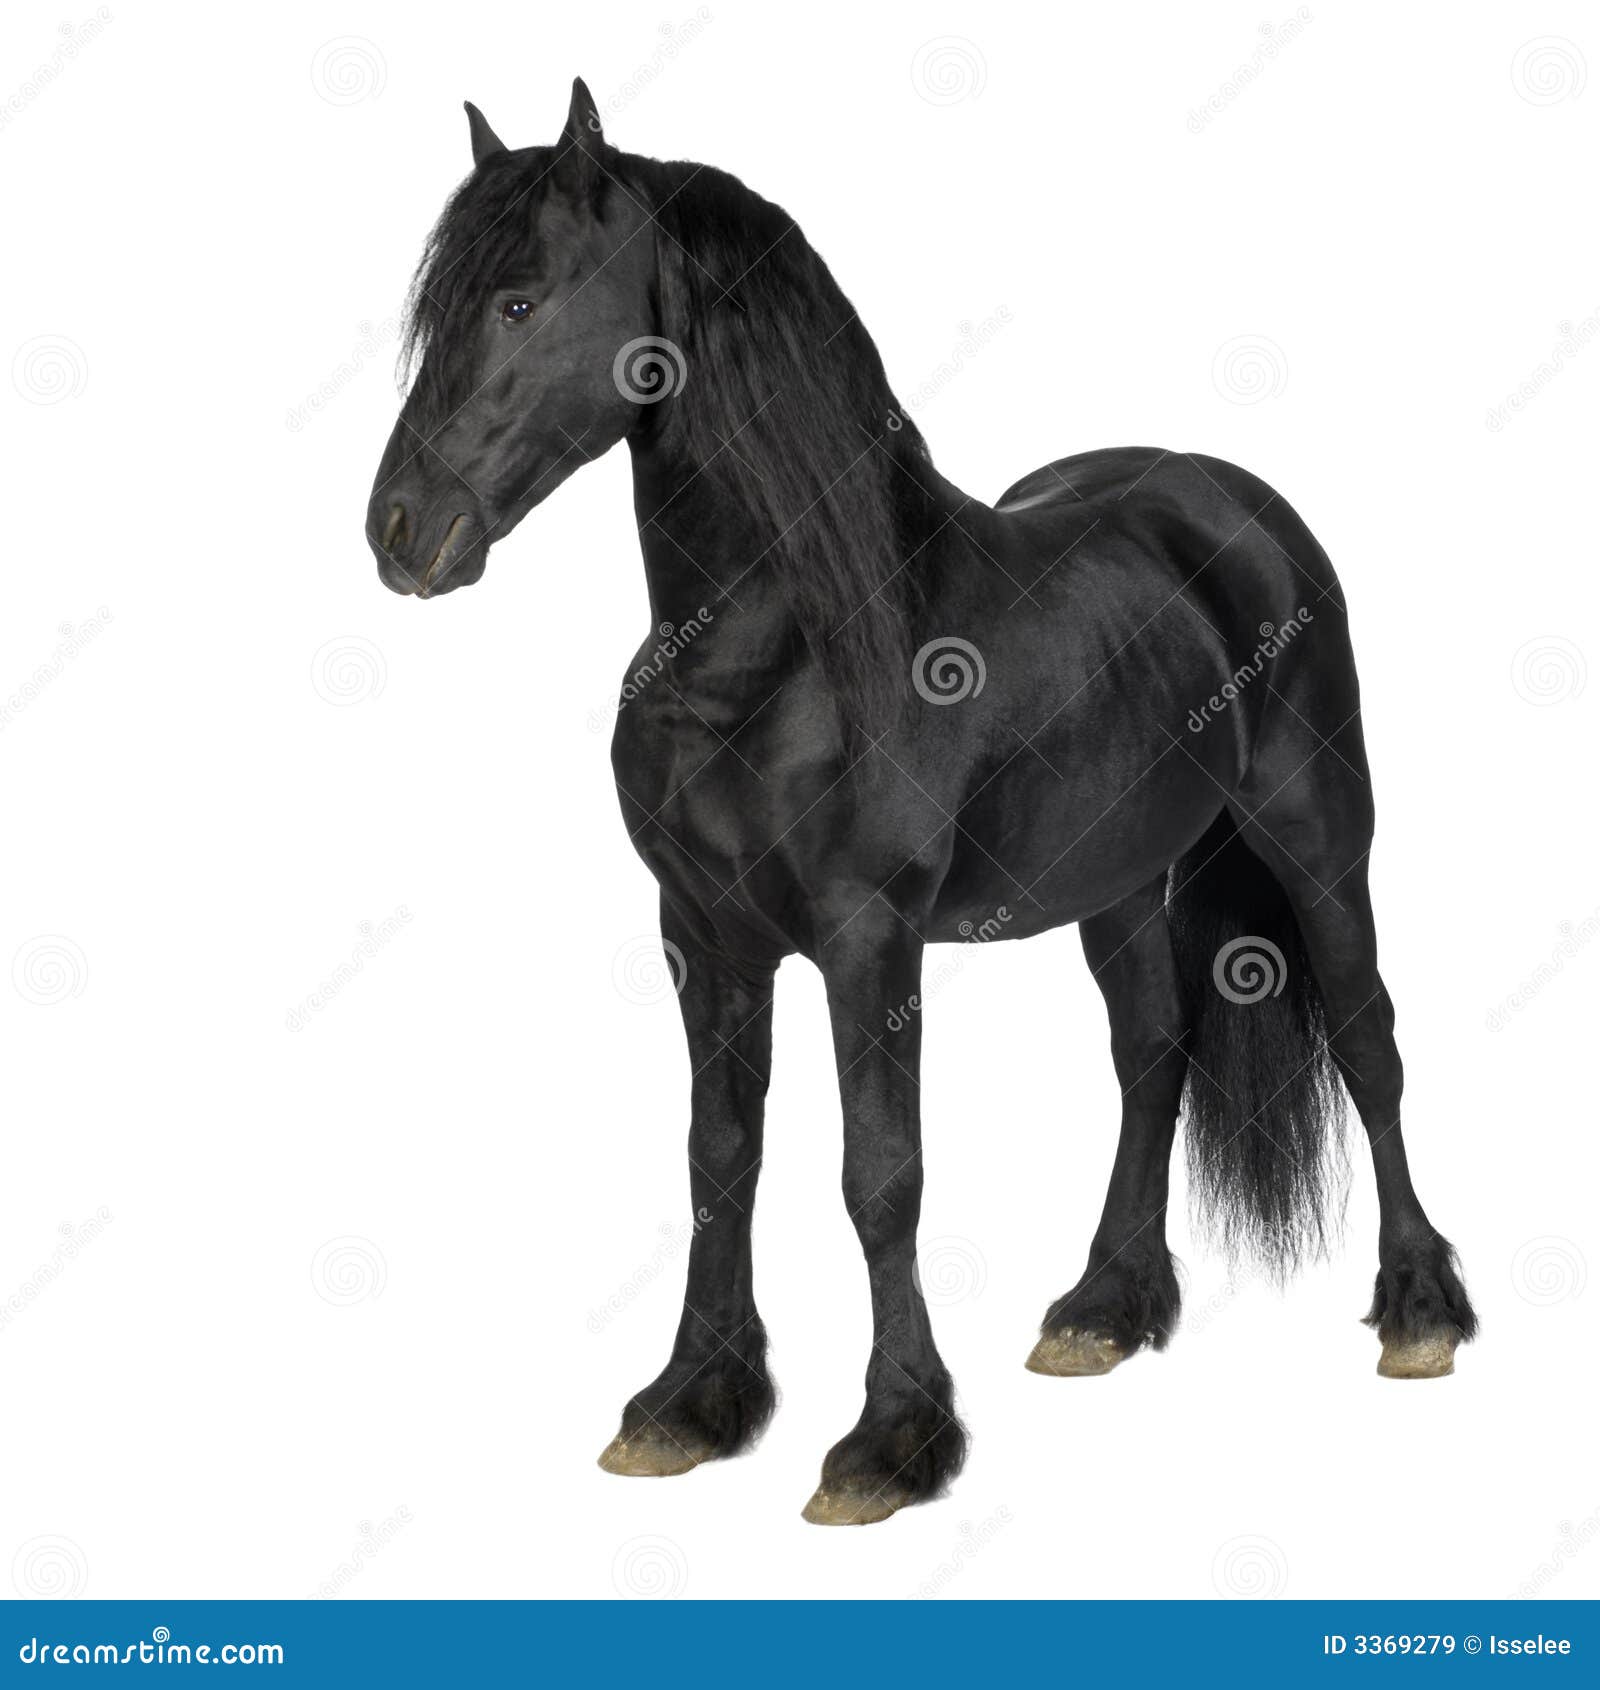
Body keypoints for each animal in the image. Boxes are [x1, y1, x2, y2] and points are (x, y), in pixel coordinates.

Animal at [365, 79, 1477, 1526]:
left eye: (518, 301)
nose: (400, 533)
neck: (783, 650)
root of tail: (1231, 502)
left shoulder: (866, 936)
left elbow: (878, 1174)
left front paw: (889, 1438)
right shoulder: (702, 936)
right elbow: (720, 1159)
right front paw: (688, 1405)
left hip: (1319, 839)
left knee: (1367, 1041)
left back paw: (1418, 1313)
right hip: (1118, 879)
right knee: (1153, 1050)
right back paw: (1102, 1309)